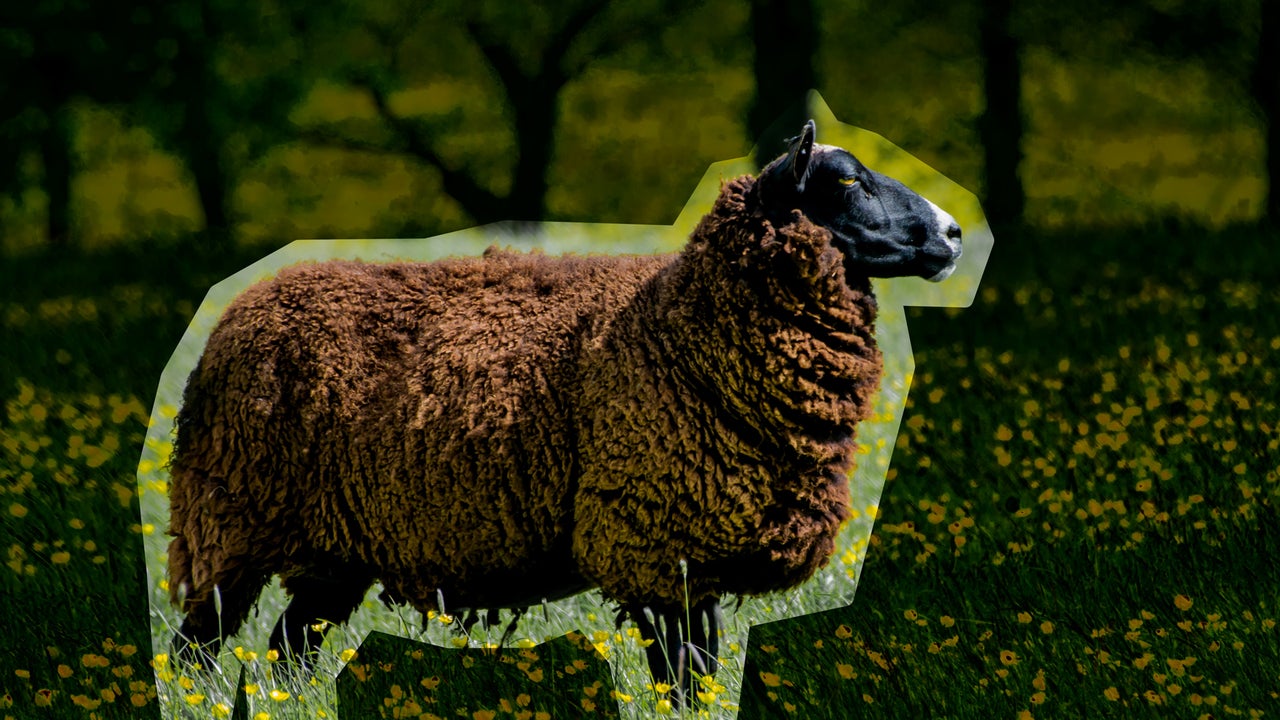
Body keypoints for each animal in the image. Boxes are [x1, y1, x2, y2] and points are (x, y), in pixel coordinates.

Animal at [166, 119, 962, 704]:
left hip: (332, 553)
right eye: (846, 180)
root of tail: (241, 307)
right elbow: (684, 680)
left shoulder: (695, 555)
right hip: (229, 523)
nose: (954, 232)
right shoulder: (654, 544)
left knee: (287, 654)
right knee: (195, 650)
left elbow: (700, 676)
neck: (683, 326)